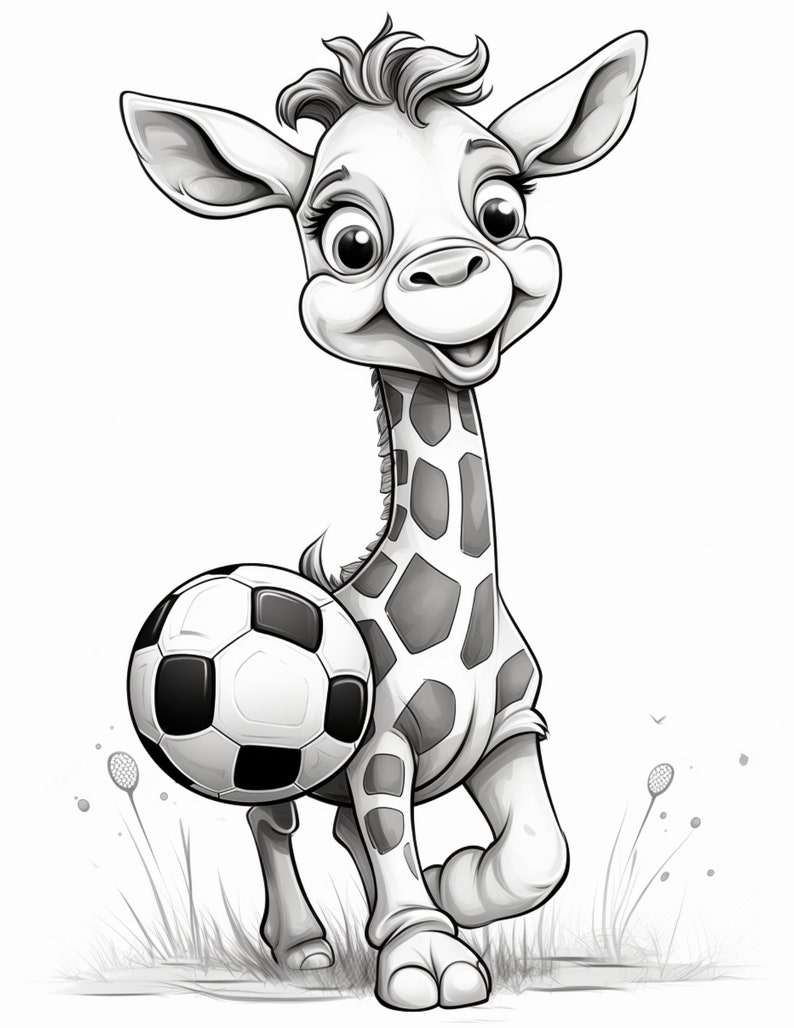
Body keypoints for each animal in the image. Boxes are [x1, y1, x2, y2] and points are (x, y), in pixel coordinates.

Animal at [121, 18, 646, 1010]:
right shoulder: (376, 750)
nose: (449, 274)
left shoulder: (515, 728)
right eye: (350, 241)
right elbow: (388, 833)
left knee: (333, 834)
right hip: (265, 759)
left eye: (503, 210)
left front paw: (455, 890)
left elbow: (541, 854)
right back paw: (302, 947)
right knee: (277, 822)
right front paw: (424, 958)